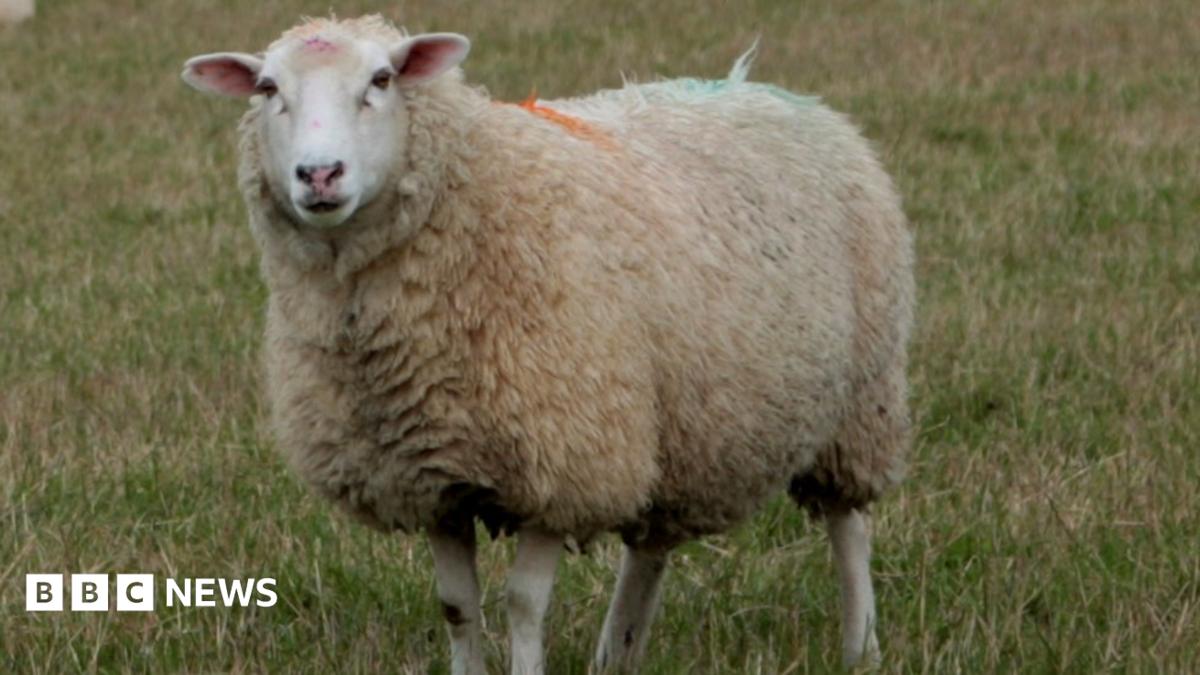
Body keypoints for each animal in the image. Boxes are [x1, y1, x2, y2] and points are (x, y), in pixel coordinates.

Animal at [182, 15, 913, 674]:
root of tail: (758, 87)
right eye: (268, 88)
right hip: (668, 427)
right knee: (651, 543)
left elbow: (523, 604)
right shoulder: (431, 474)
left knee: (849, 526)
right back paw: (617, 655)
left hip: (860, 400)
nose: (320, 174)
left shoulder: (559, 461)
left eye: (381, 80)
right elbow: (457, 605)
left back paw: (862, 647)